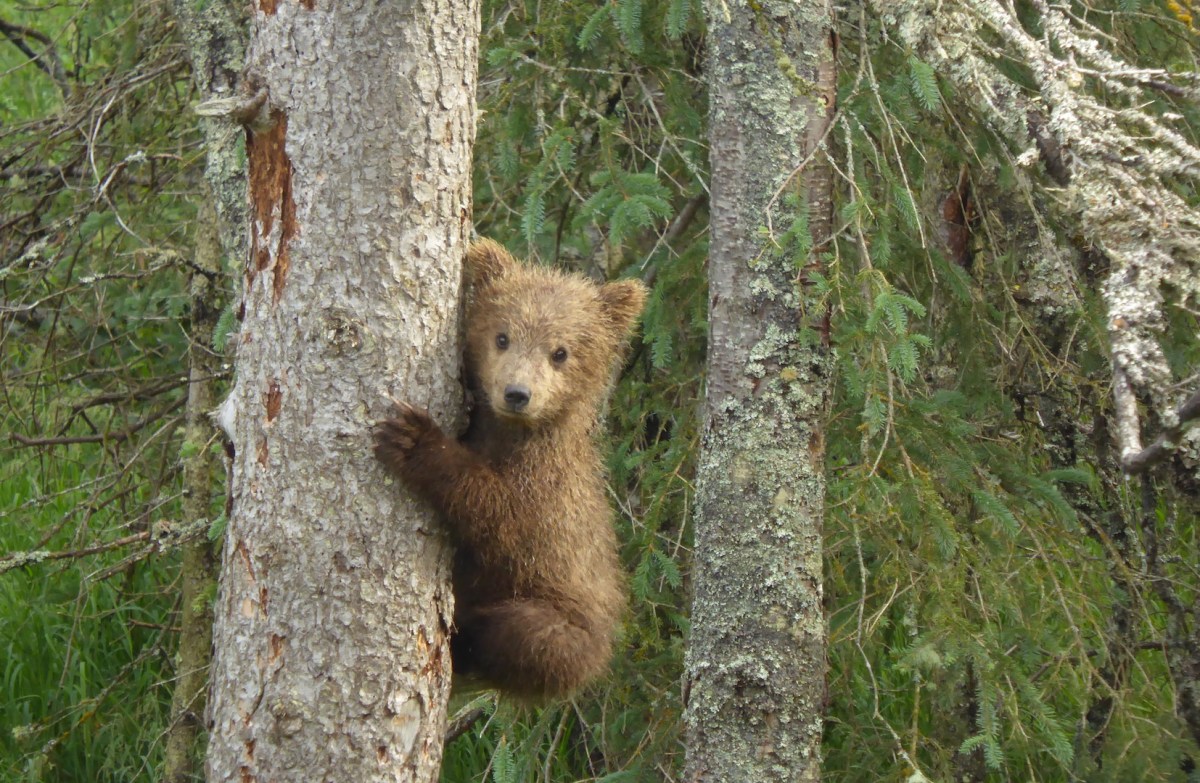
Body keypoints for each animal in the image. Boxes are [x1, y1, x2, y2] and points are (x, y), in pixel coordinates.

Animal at [373, 239, 647, 700]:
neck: (509, 434)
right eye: (502, 336)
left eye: (560, 352)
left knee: (531, 637)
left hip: (574, 627)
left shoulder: (547, 488)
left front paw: (414, 439)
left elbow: (504, 517)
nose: (517, 393)